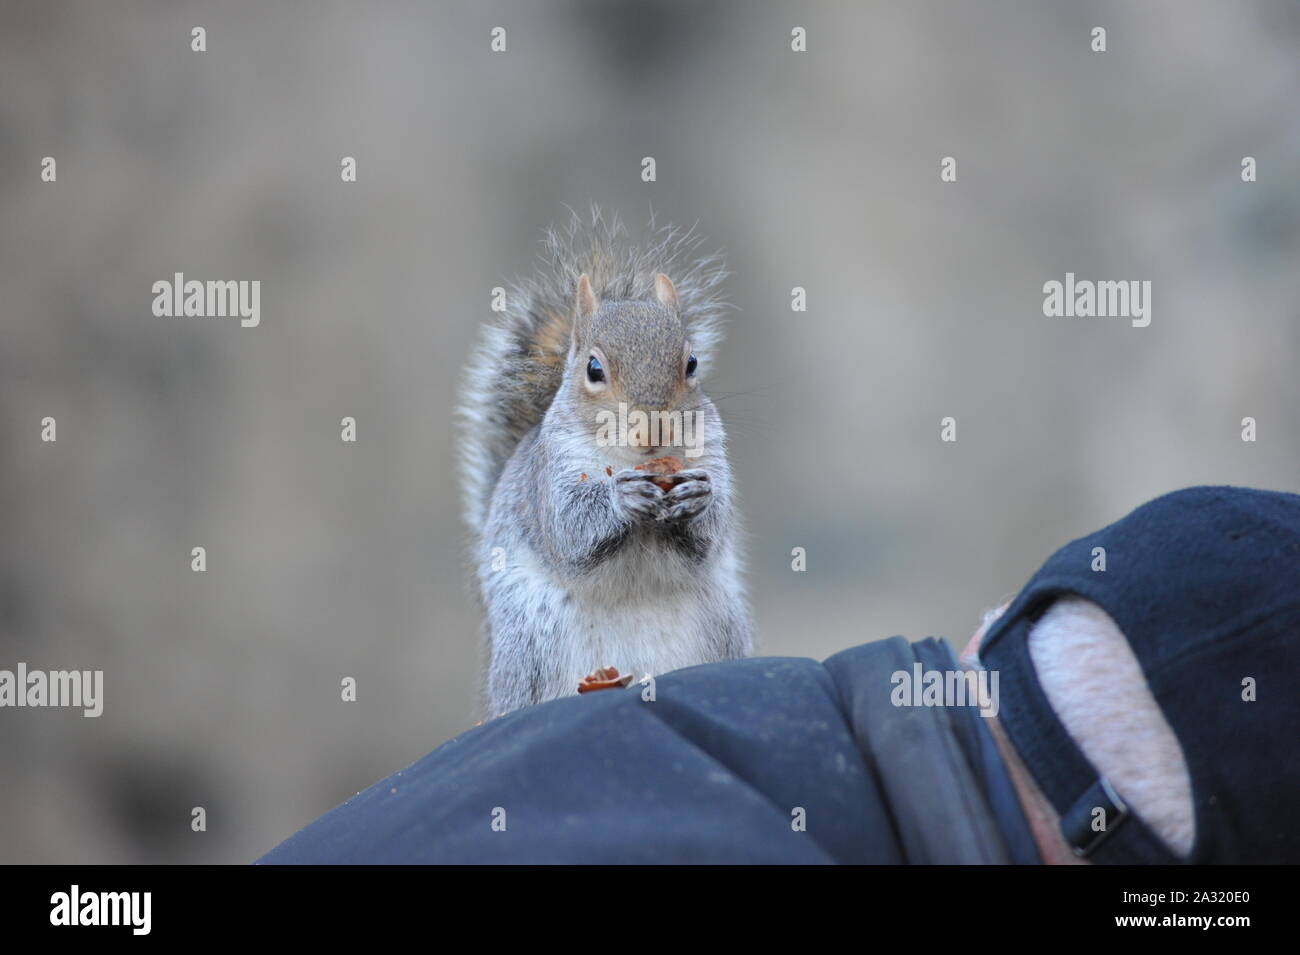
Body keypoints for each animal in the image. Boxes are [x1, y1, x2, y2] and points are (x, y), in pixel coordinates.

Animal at [460, 209, 753, 717]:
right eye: (593, 370)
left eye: (692, 362)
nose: (654, 431)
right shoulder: (551, 475)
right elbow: (571, 531)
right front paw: (622, 497)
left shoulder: (714, 453)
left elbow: (709, 535)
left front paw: (698, 496)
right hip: (529, 644)